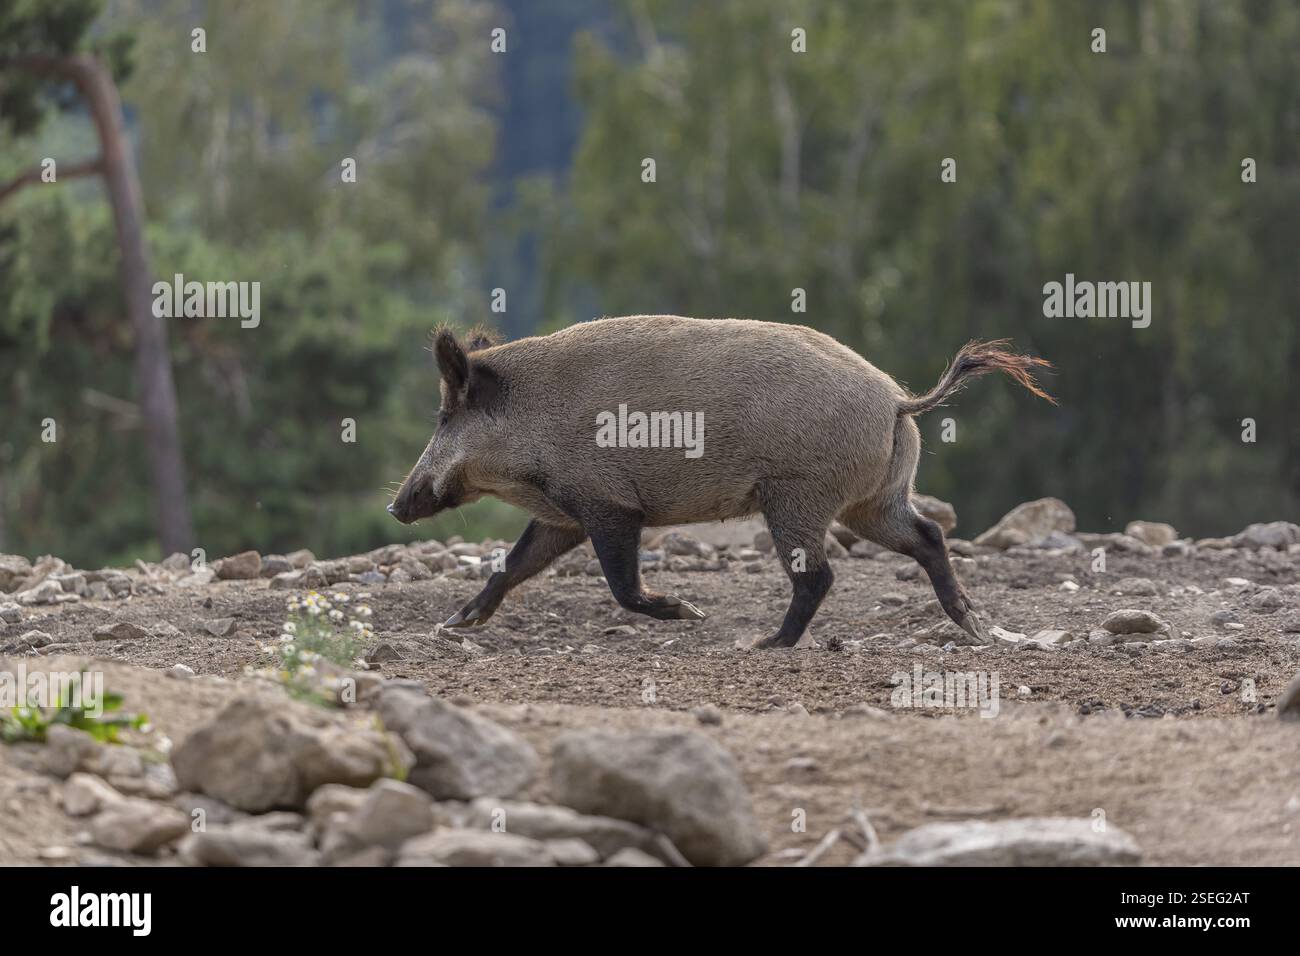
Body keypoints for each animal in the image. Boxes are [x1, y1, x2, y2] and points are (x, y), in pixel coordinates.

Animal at [389, 315, 1053, 647]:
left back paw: (765, 644)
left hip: (797, 495)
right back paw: (972, 625)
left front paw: (689, 613)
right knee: (928, 538)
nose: (396, 507)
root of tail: (897, 399)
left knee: (821, 575)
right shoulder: (563, 515)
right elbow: (514, 563)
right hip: (871, 501)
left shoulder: (608, 504)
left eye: (445, 416)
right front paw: (455, 624)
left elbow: (622, 587)